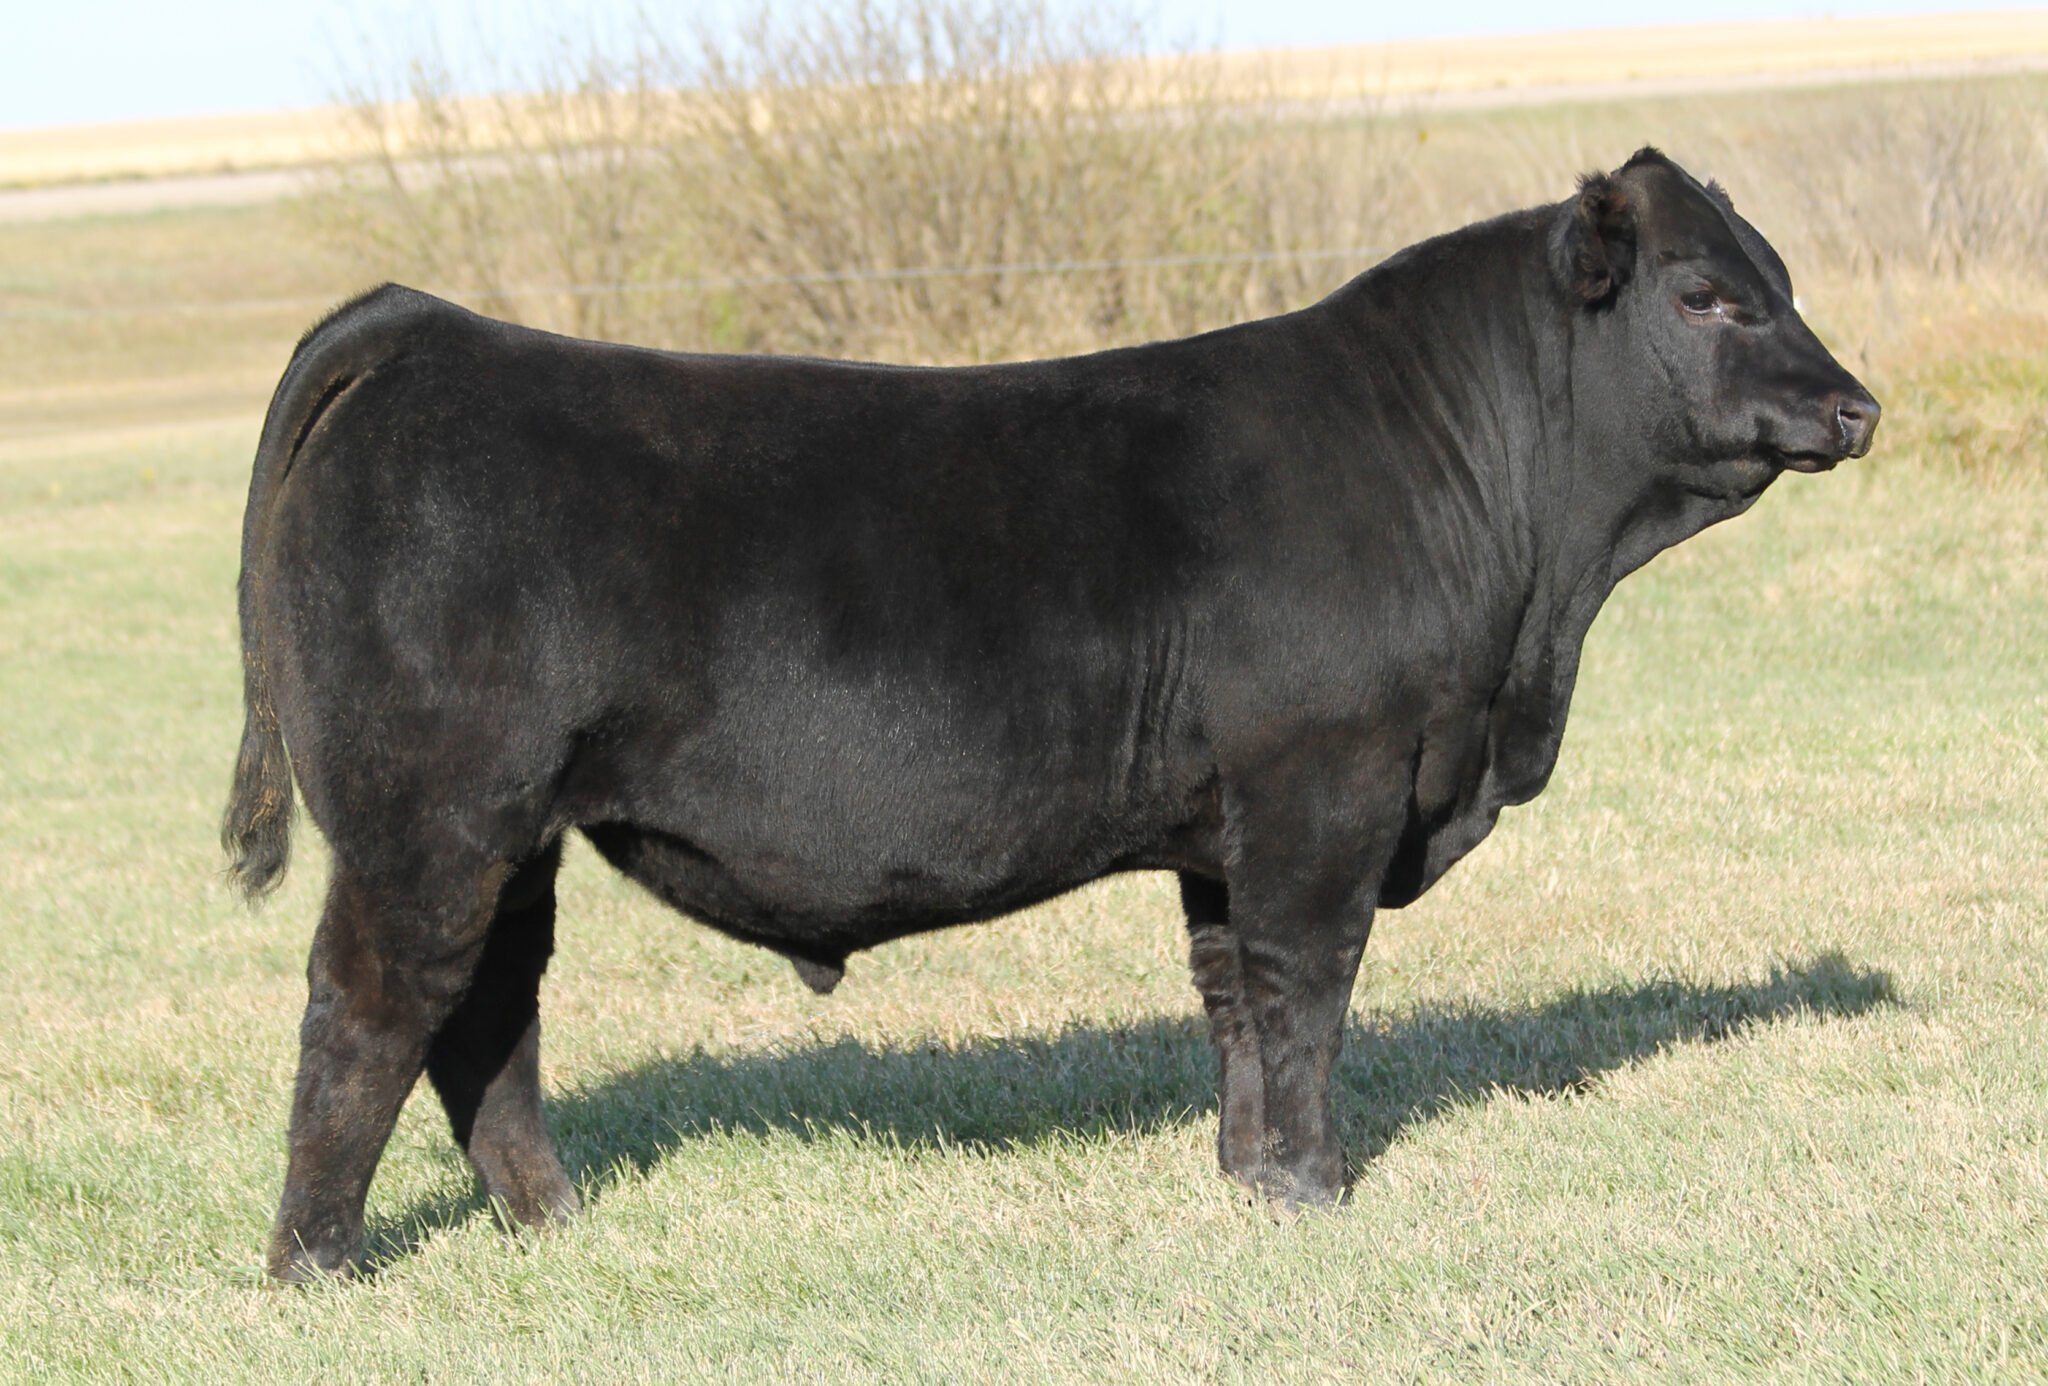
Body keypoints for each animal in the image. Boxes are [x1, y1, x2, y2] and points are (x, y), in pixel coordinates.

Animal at [224, 148, 1878, 1281]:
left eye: (1784, 276)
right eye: (1705, 295)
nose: (1857, 405)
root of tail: (430, 328)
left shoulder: (1225, 821)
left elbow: (1233, 994)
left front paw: (1245, 1174)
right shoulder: (1325, 786)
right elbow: (1309, 982)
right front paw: (1314, 1187)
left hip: (513, 837)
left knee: (486, 1013)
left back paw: (551, 1220)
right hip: (432, 821)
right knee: (370, 1005)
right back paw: (318, 1263)